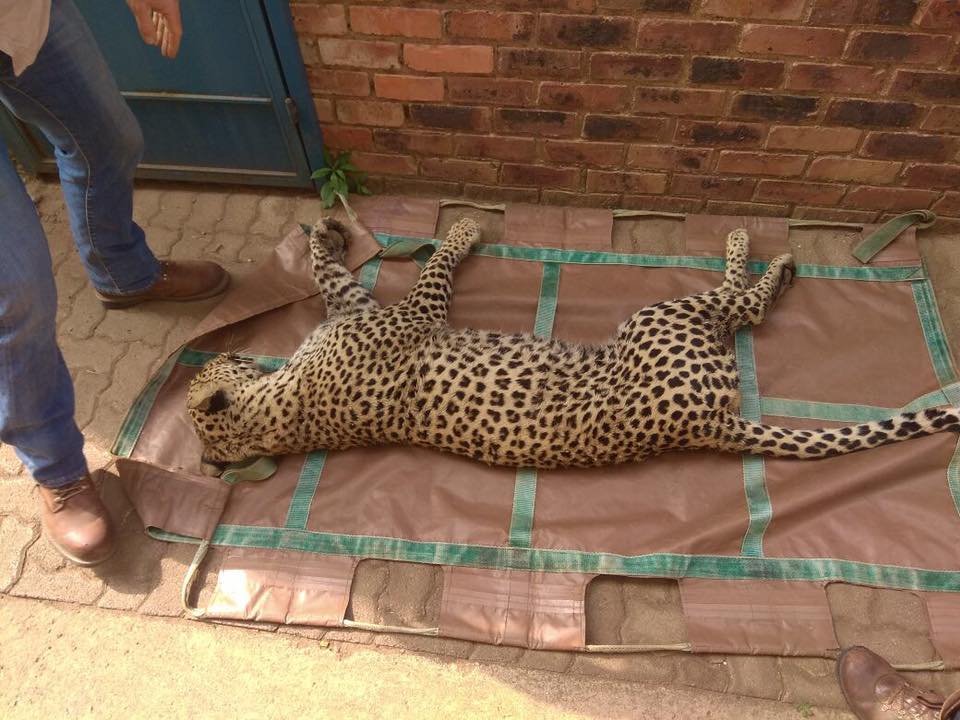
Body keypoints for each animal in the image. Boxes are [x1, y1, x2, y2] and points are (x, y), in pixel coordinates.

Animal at [187, 216, 960, 474]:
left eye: (224, 356)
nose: (233, 353)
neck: (276, 414)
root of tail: (710, 426)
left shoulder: (354, 309)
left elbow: (328, 273)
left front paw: (324, 230)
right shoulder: (412, 315)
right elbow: (439, 268)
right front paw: (464, 228)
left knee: (740, 309)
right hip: (662, 317)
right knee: (745, 305)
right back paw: (764, 254)